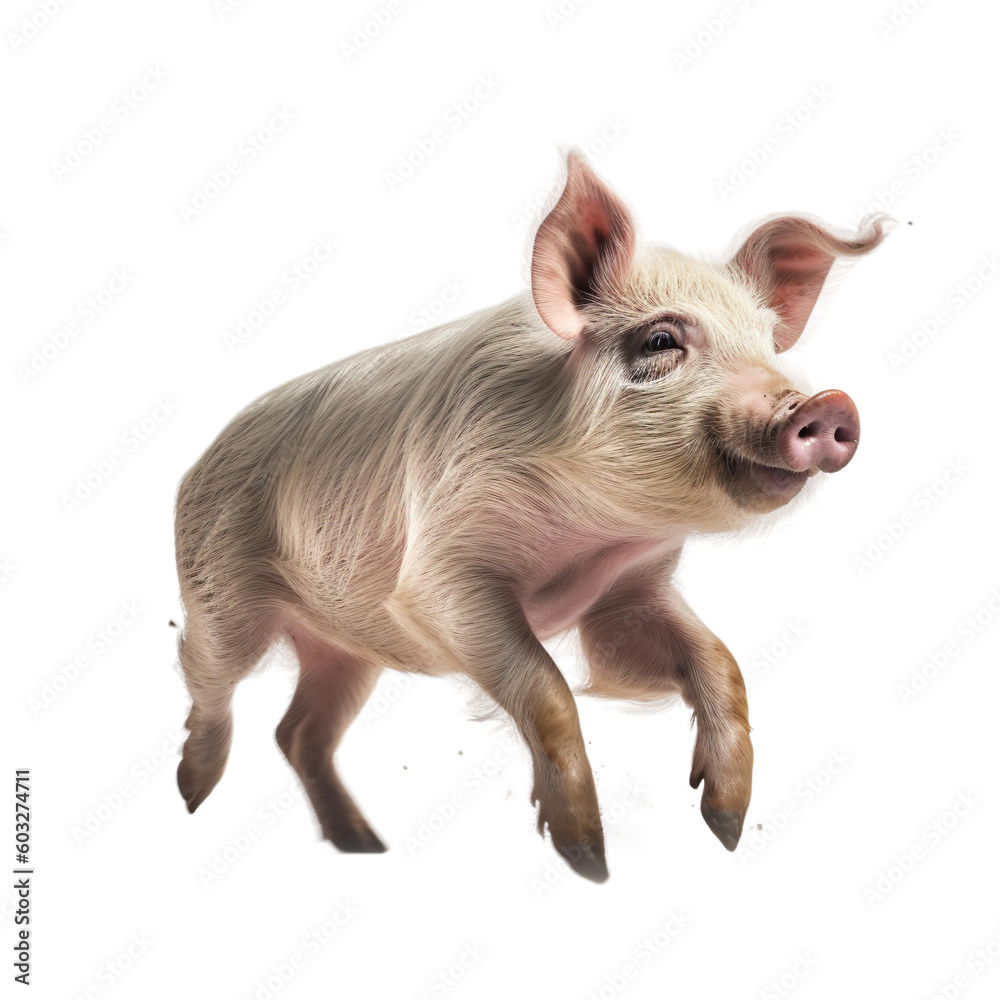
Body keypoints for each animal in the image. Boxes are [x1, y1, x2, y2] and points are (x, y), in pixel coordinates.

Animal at [174, 151, 888, 882]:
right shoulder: (441, 575)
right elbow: (546, 687)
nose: (826, 404)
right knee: (210, 678)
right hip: (220, 590)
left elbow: (716, 662)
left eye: (770, 343)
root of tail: (198, 462)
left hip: (345, 642)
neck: (591, 538)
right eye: (661, 339)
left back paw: (363, 844)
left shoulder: (628, 594)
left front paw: (726, 828)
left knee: (299, 731)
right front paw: (588, 860)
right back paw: (194, 796)